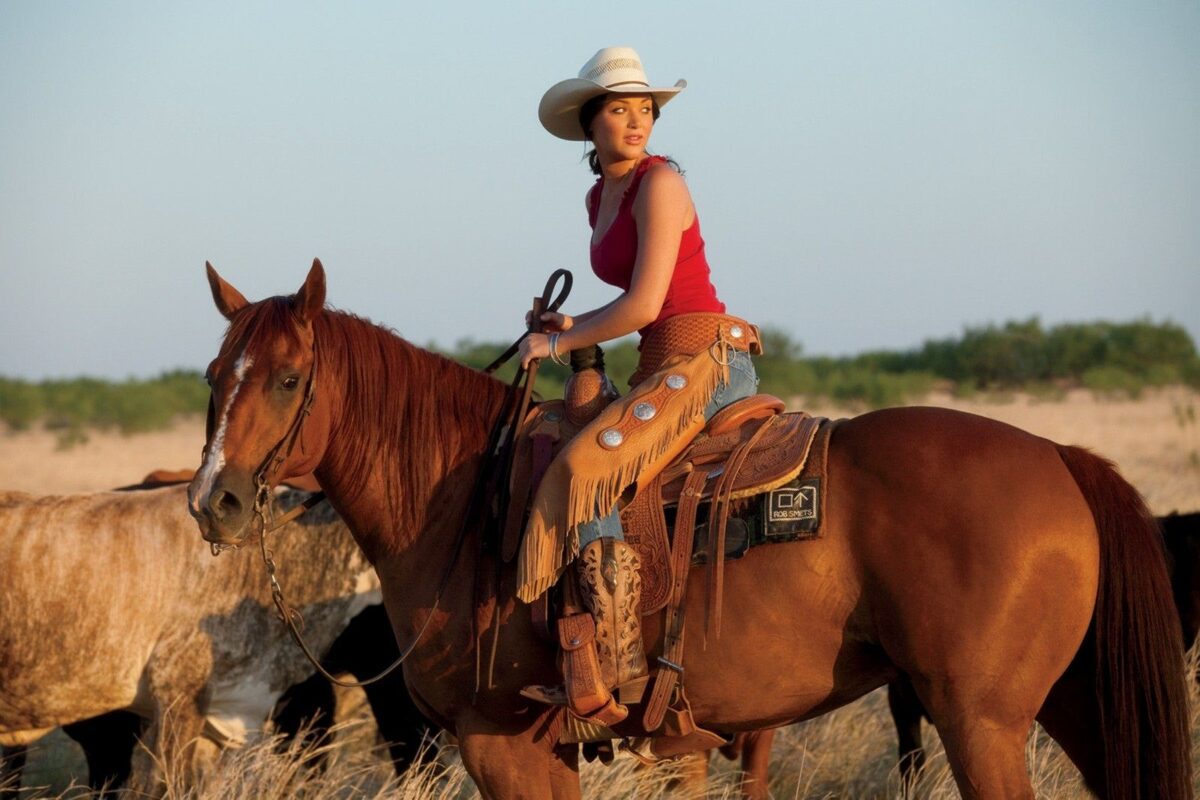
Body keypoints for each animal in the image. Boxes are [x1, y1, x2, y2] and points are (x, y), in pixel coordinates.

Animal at [189, 259, 1191, 799]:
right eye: (210, 374)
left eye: (287, 378)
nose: (213, 501)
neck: (460, 503)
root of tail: (1059, 454)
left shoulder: (502, 741)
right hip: (1065, 703)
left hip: (979, 720)